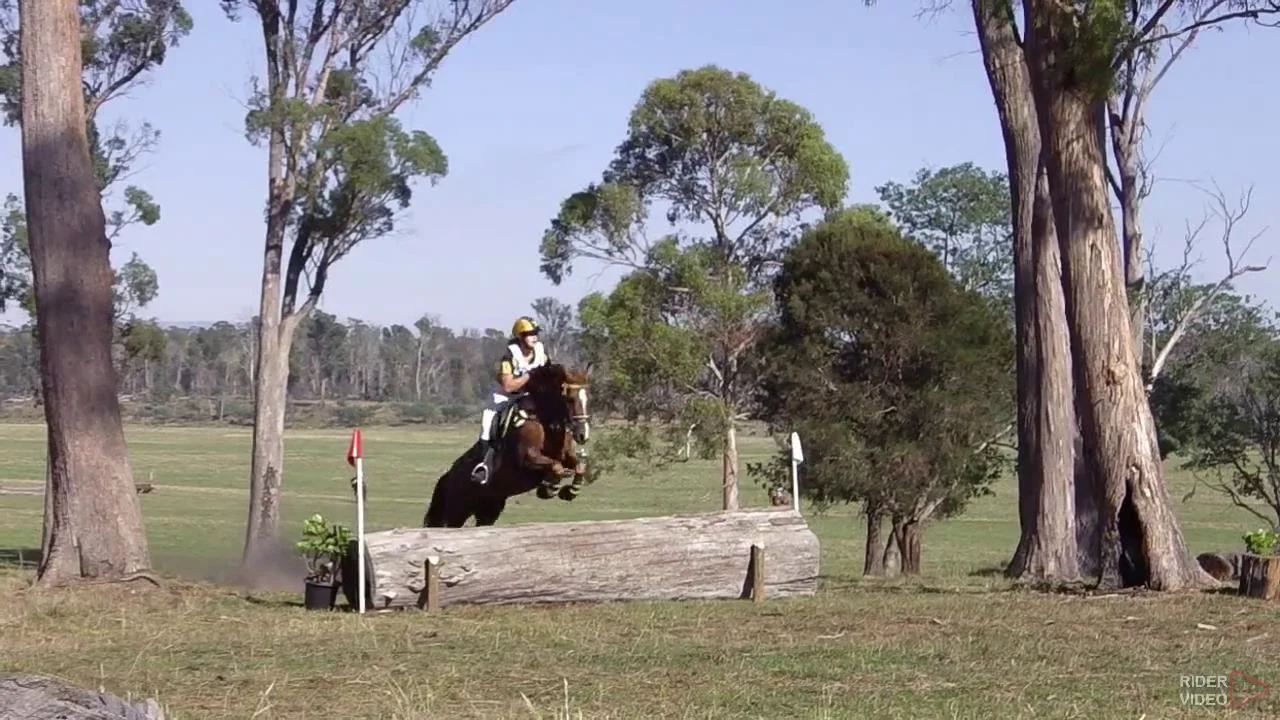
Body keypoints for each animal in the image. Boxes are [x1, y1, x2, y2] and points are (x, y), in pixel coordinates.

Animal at [422, 362, 592, 528]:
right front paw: (549, 489)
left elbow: (578, 466)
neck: (546, 421)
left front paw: (569, 491)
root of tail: (448, 476)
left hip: (489, 508)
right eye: (569, 399)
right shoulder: (527, 459)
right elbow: (556, 466)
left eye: (587, 398)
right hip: (456, 511)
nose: (582, 435)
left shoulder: (566, 456)